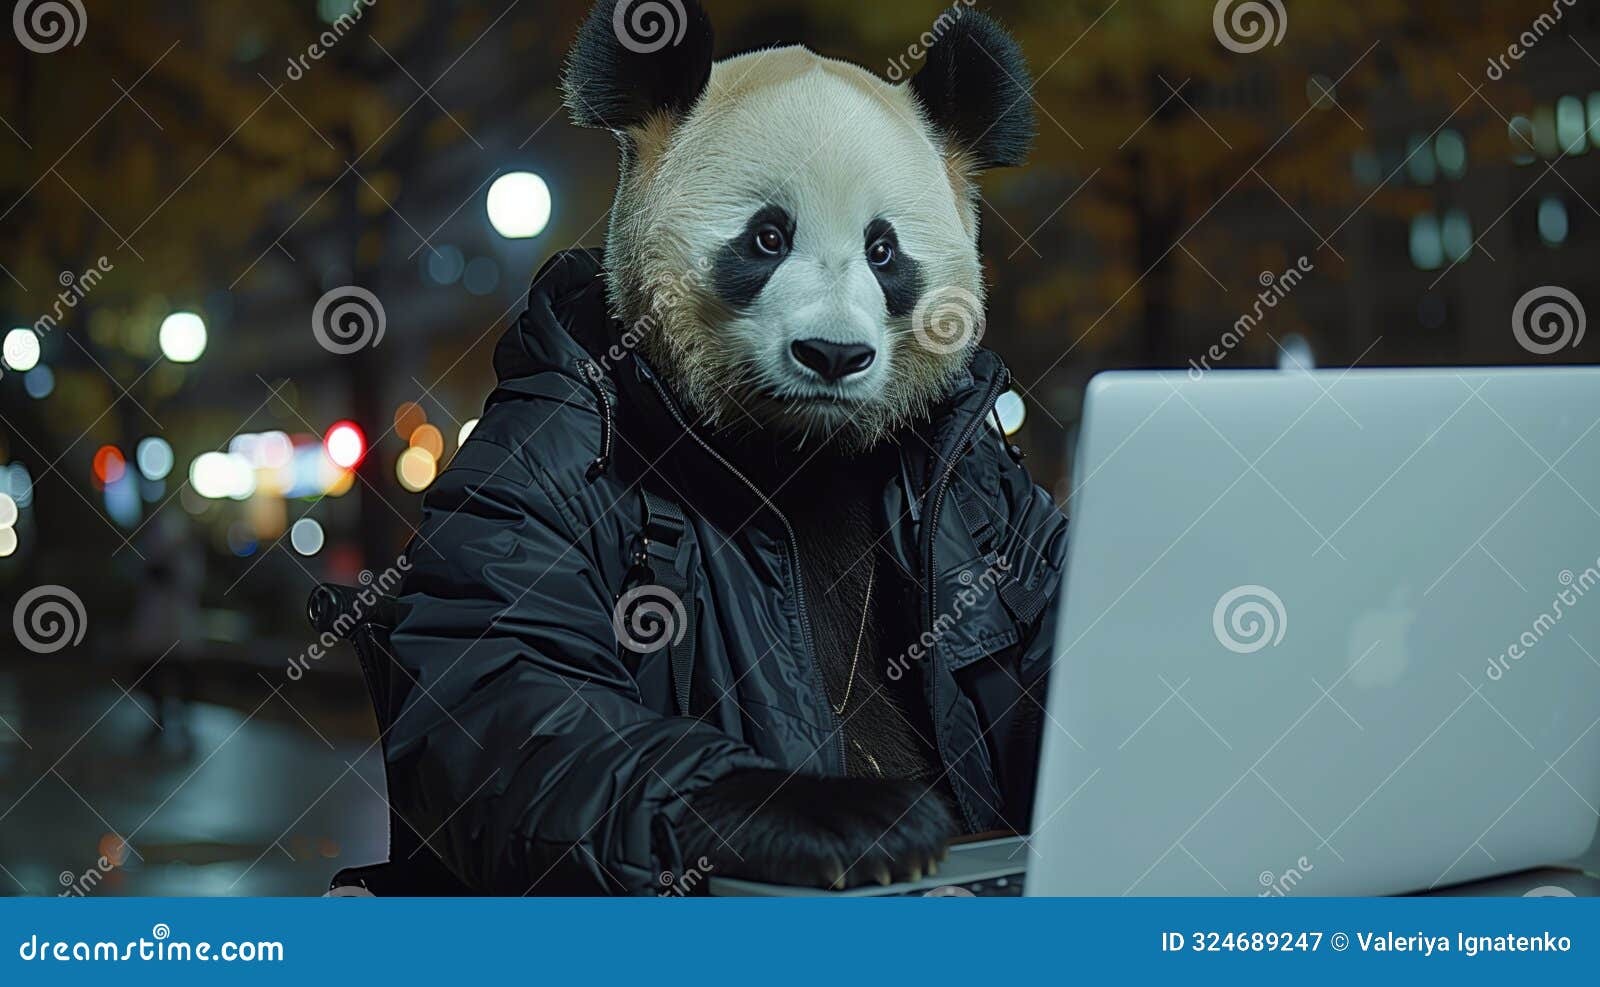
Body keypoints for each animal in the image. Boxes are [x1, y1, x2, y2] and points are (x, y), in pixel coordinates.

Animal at [390, 0, 1067, 895]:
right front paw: (847, 818)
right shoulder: (536, 453)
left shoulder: (1002, 492)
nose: (832, 355)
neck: (797, 446)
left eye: (883, 250)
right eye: (768, 237)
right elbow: (514, 683)